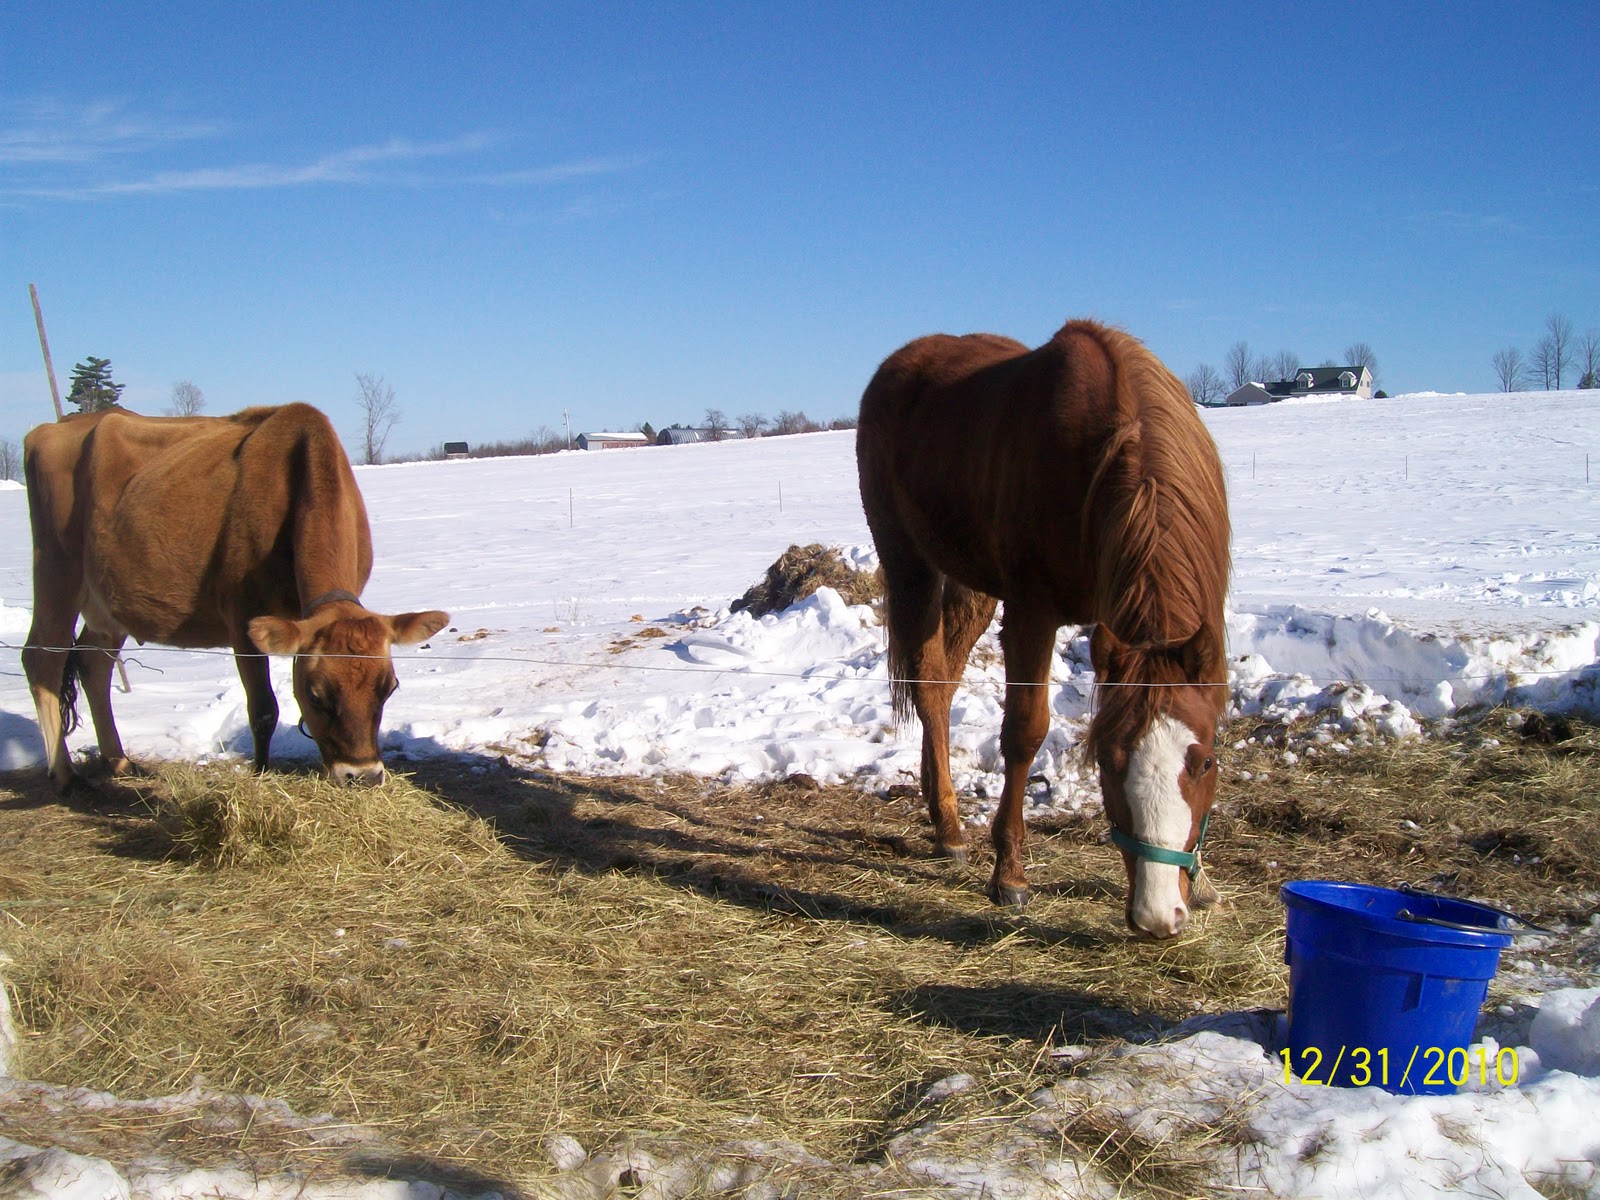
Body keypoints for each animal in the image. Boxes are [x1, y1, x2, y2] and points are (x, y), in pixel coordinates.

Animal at [21, 403, 449, 792]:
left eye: (389, 687)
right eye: (315, 693)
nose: (362, 776)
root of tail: (53, 427)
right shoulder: (242, 618)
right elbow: (263, 710)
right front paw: (260, 775)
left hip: (108, 602)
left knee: (93, 663)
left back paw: (119, 761)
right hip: (55, 566)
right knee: (42, 658)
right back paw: (64, 773)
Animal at [856, 319, 1230, 939]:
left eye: (1202, 762)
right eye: (1109, 761)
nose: (1157, 916)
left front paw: (1202, 883)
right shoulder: (1032, 614)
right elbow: (1024, 734)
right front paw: (1008, 873)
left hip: (976, 584)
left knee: (947, 682)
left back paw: (939, 810)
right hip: (909, 562)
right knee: (930, 685)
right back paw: (951, 828)